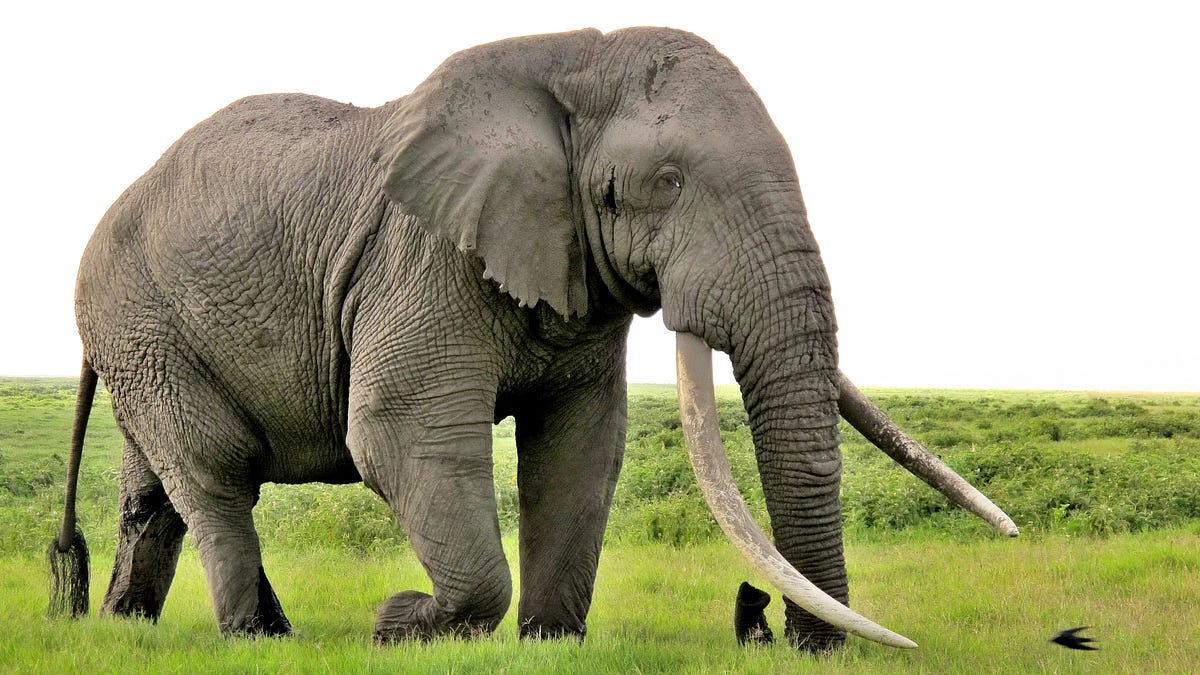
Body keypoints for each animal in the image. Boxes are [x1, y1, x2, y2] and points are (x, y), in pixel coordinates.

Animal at [48, 27, 1018, 651]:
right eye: (667, 181)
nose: (770, 624)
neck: (569, 60)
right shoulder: (423, 257)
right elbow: (401, 434)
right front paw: (401, 623)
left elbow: (581, 448)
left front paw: (550, 641)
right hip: (141, 320)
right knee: (214, 471)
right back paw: (258, 636)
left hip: (147, 336)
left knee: (154, 491)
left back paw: (129, 625)